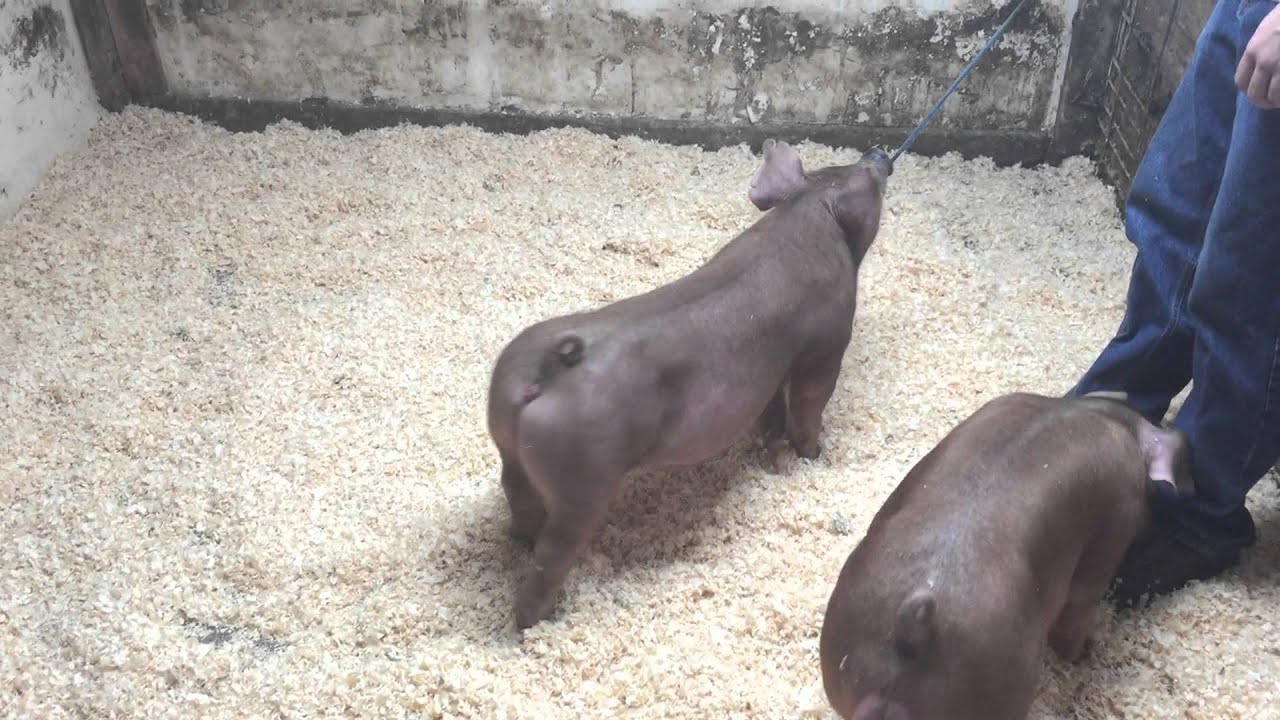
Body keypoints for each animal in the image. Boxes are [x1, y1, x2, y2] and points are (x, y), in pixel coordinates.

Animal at [487, 140, 893, 630]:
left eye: (833, 166)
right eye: (866, 181)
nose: (879, 155)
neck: (807, 212)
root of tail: (551, 368)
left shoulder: (765, 373)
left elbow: (770, 410)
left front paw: (773, 444)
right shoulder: (827, 343)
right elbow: (809, 404)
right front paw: (815, 456)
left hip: (505, 432)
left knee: (515, 490)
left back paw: (520, 540)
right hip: (583, 476)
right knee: (554, 551)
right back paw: (542, 619)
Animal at [818, 390, 1196, 720]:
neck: (1106, 415)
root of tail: (912, 629)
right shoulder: (1108, 539)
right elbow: (1077, 610)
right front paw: (1084, 654)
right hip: (1002, 683)